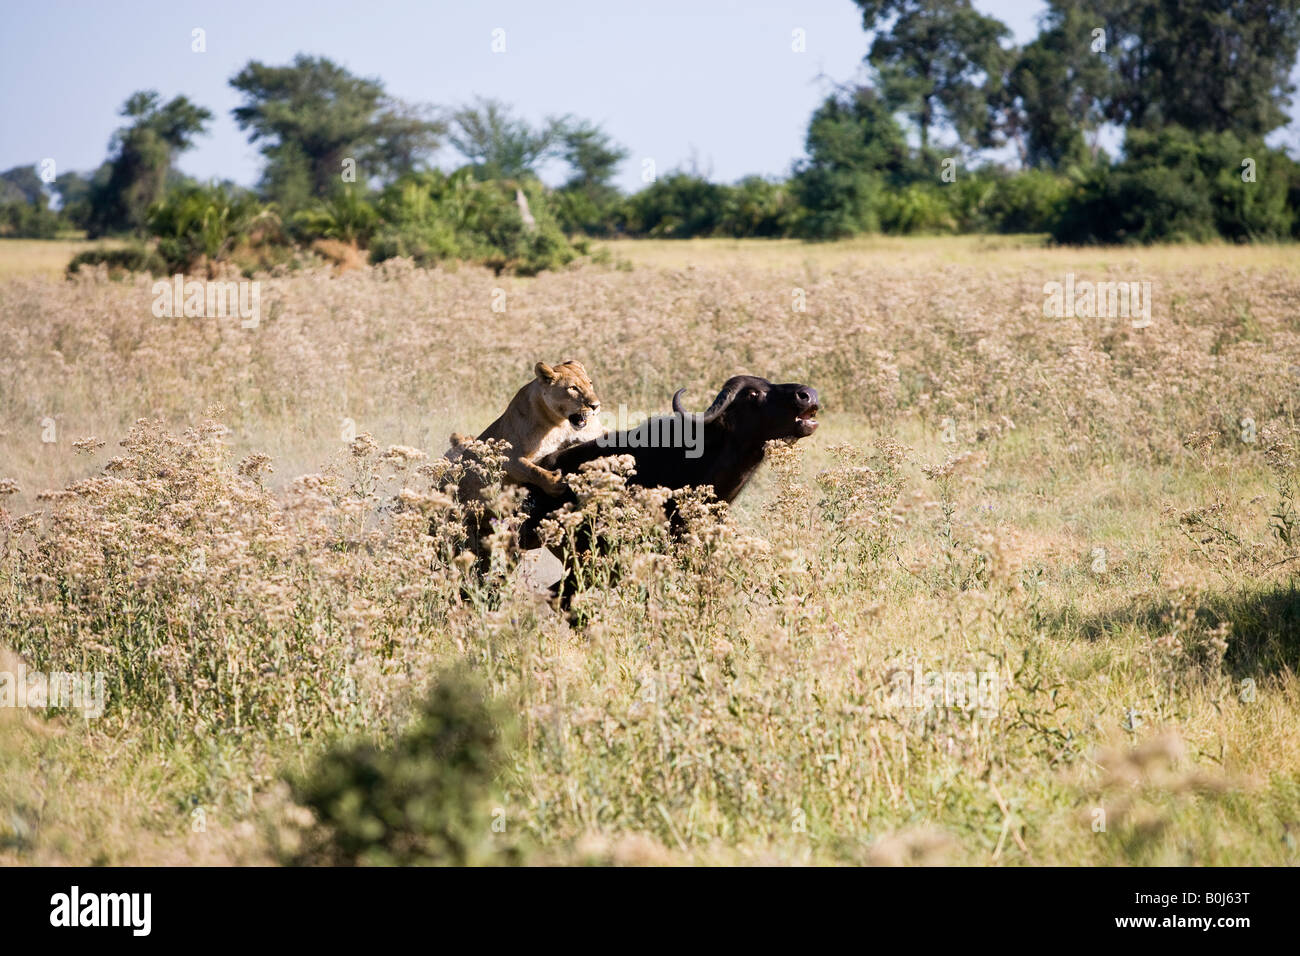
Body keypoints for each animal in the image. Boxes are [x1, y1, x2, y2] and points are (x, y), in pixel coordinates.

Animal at [446, 360, 603, 500]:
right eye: (573, 388)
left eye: (590, 383)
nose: (596, 405)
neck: (558, 423)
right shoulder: (507, 455)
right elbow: (531, 470)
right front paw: (554, 483)